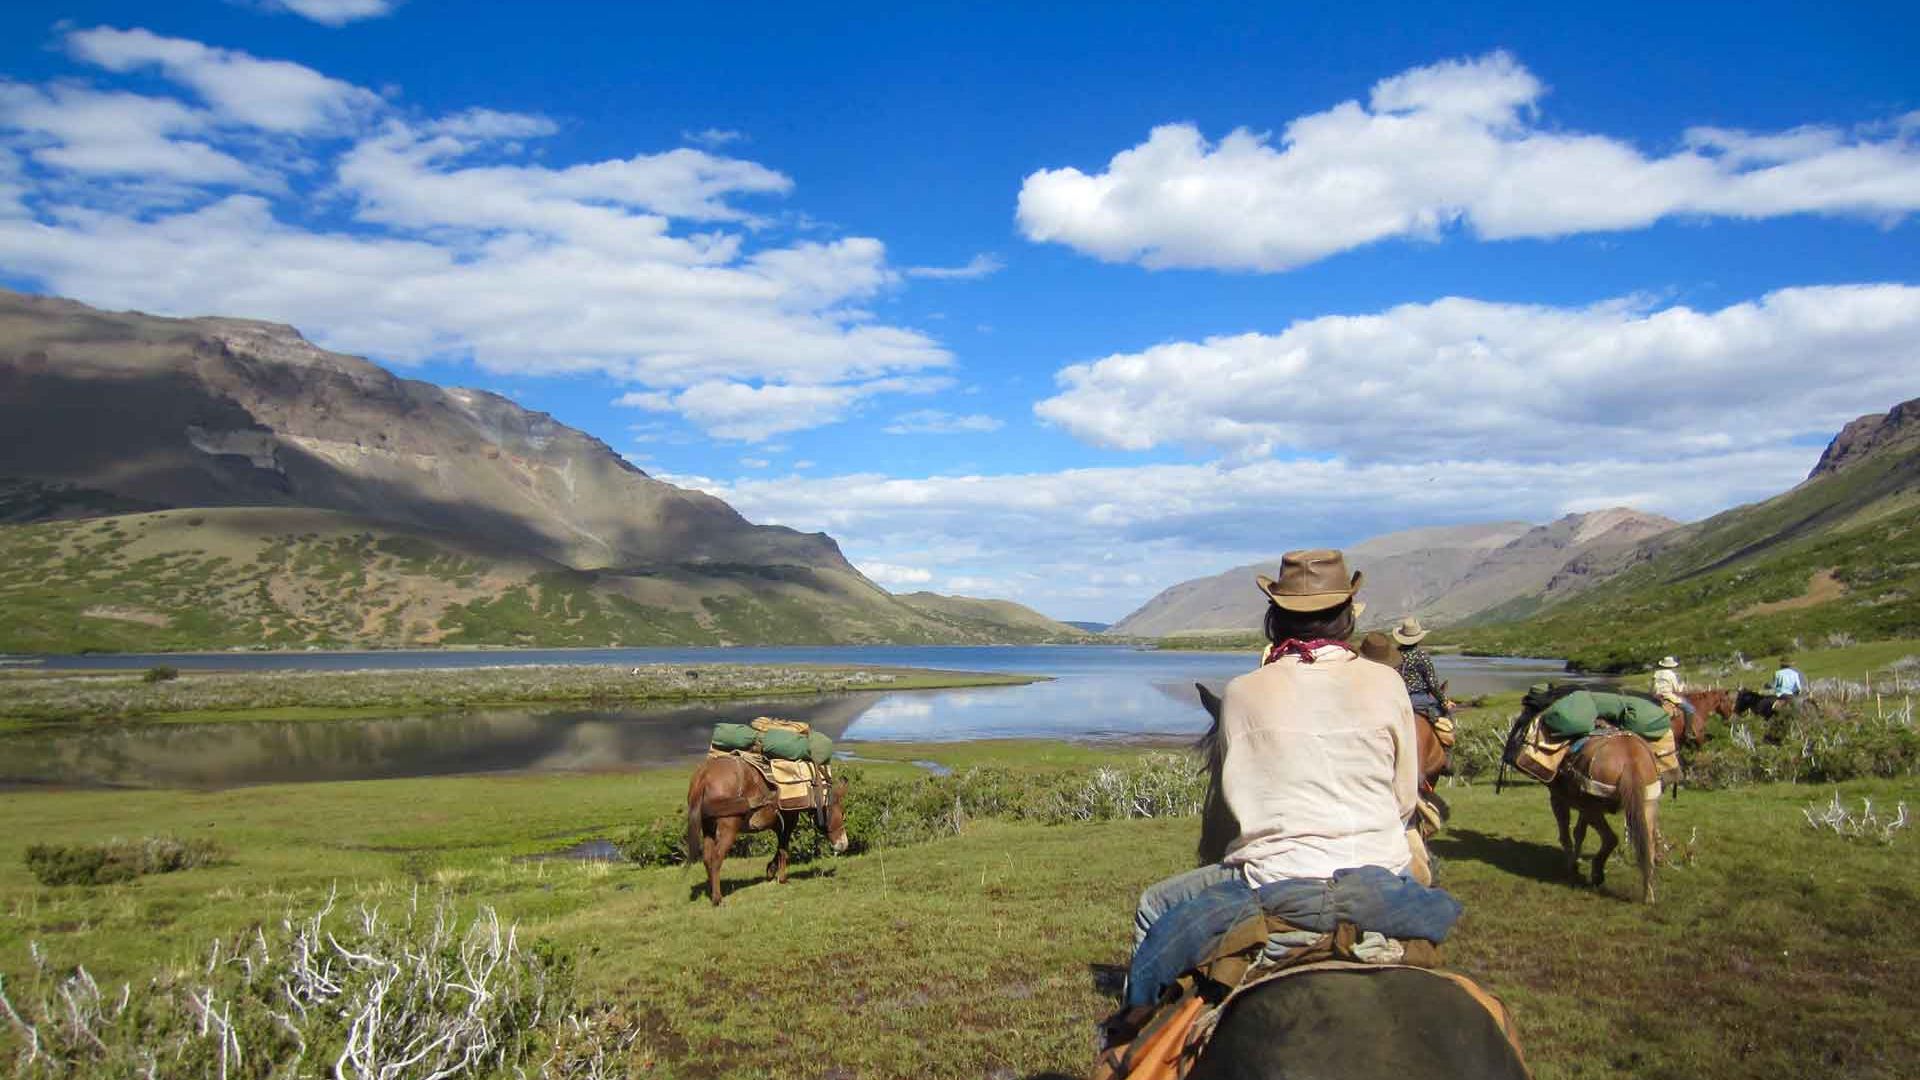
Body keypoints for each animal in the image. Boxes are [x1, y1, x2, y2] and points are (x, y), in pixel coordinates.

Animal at [1551, 730, 1658, 899]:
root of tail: (1629, 760)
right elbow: (1579, 832)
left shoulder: (1558, 798)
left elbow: (1567, 835)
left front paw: (1573, 866)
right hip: (1647, 804)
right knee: (1648, 847)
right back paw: (1648, 895)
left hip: (1592, 806)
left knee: (1610, 838)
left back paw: (1596, 874)